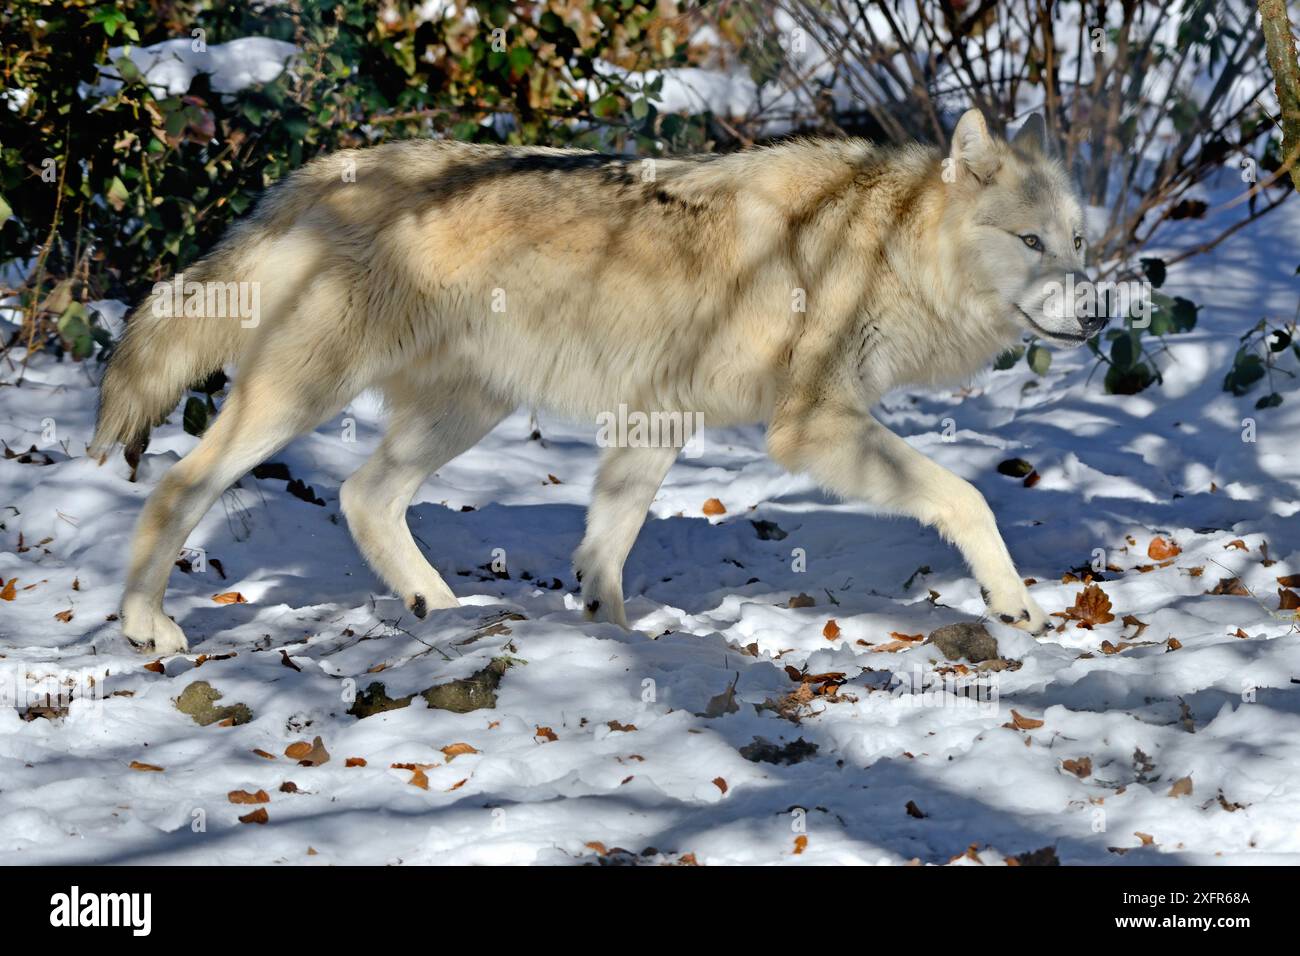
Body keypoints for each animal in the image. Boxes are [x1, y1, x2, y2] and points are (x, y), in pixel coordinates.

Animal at [90, 109, 1104, 654]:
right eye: (1030, 242)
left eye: (1077, 240)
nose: (1096, 317)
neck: (889, 248)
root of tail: (314, 174)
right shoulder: (808, 425)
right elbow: (967, 497)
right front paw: (1015, 604)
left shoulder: (656, 422)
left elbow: (603, 550)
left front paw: (609, 639)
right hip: (302, 399)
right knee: (181, 486)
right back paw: (145, 626)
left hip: (466, 409)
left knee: (362, 496)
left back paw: (444, 610)